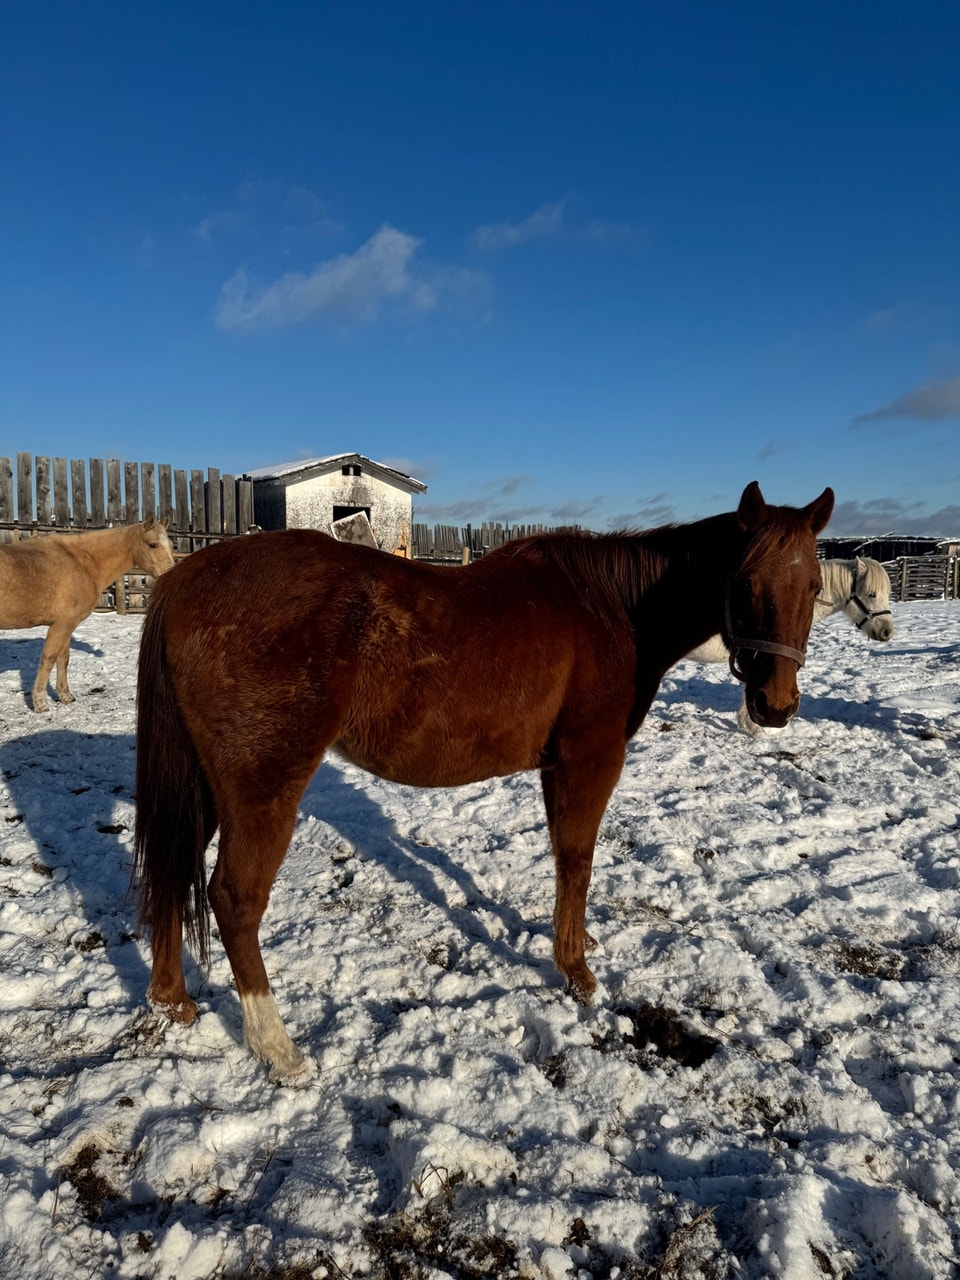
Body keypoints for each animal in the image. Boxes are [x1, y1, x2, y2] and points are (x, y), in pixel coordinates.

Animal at [0, 518, 174, 712]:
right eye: (153, 544)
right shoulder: (61, 626)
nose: (171, 576)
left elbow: (63, 659)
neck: (81, 561)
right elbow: (48, 660)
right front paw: (40, 703)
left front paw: (65, 696)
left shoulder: (66, 626)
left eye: (171, 545)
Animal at [134, 480, 833, 1080]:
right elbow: (577, 857)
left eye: (815, 585)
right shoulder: (589, 760)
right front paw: (576, 972)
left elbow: (564, 859)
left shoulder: (557, 766)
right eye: (745, 580)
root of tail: (182, 581)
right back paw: (278, 1048)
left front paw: (577, 942)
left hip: (205, 785)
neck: (611, 608)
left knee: (170, 868)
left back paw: (172, 1001)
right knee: (234, 899)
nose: (776, 705)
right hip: (263, 787)